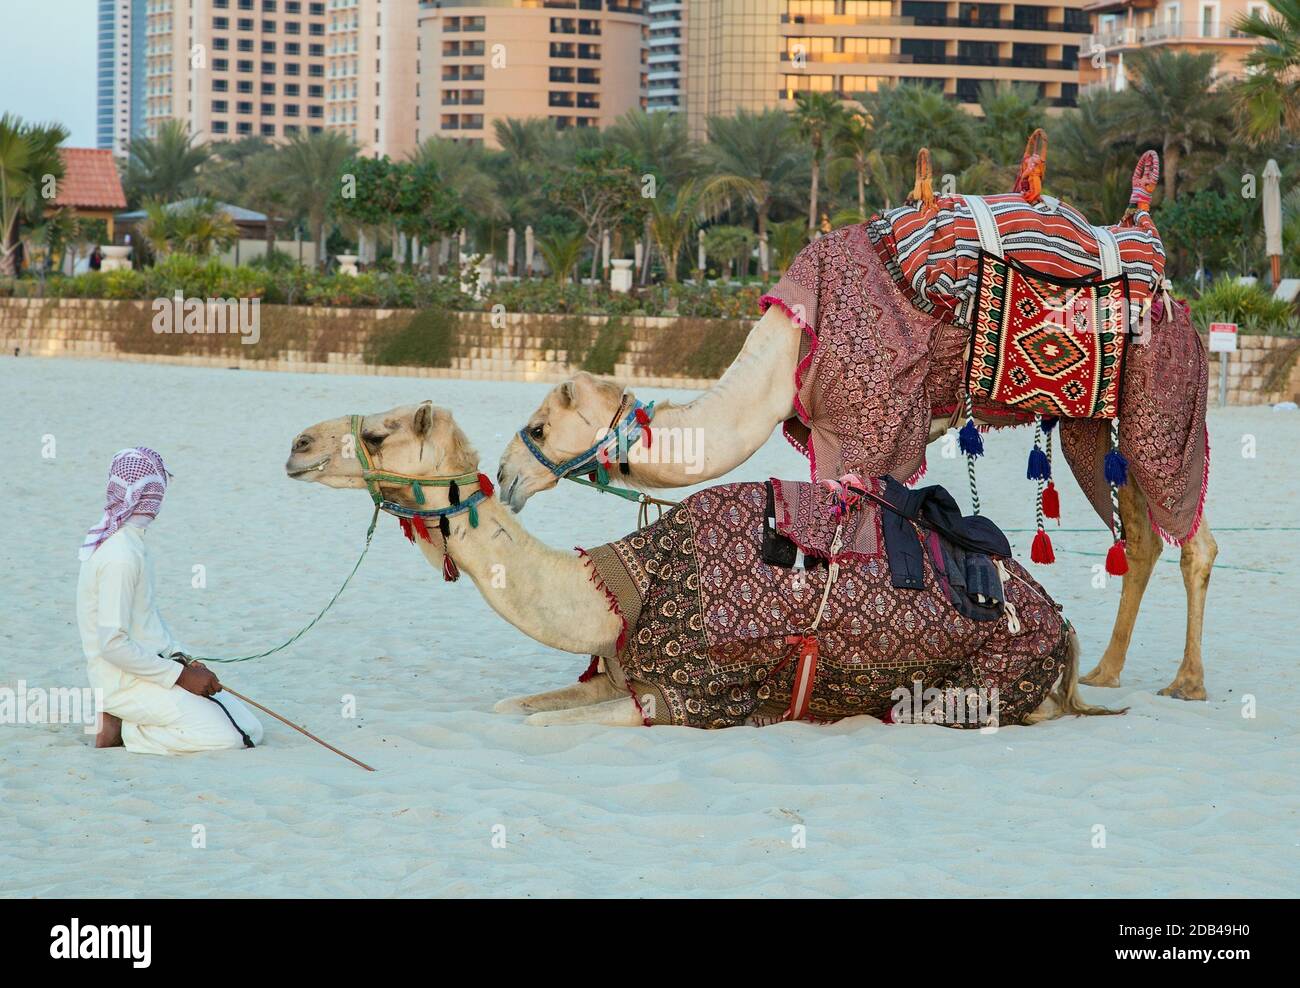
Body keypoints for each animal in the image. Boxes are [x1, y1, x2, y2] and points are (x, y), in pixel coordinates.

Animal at [285, 401, 1108, 728]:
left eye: (383, 432)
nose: (298, 443)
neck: (624, 588)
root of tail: (1062, 624)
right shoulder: (619, 670)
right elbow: (511, 712)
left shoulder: (690, 696)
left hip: (978, 680)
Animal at [497, 303, 1218, 702]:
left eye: (539, 427)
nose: (504, 476)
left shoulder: (880, 417)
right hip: (1094, 427)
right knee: (1142, 538)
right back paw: (1105, 670)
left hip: (1158, 397)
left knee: (1192, 533)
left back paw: (1188, 681)